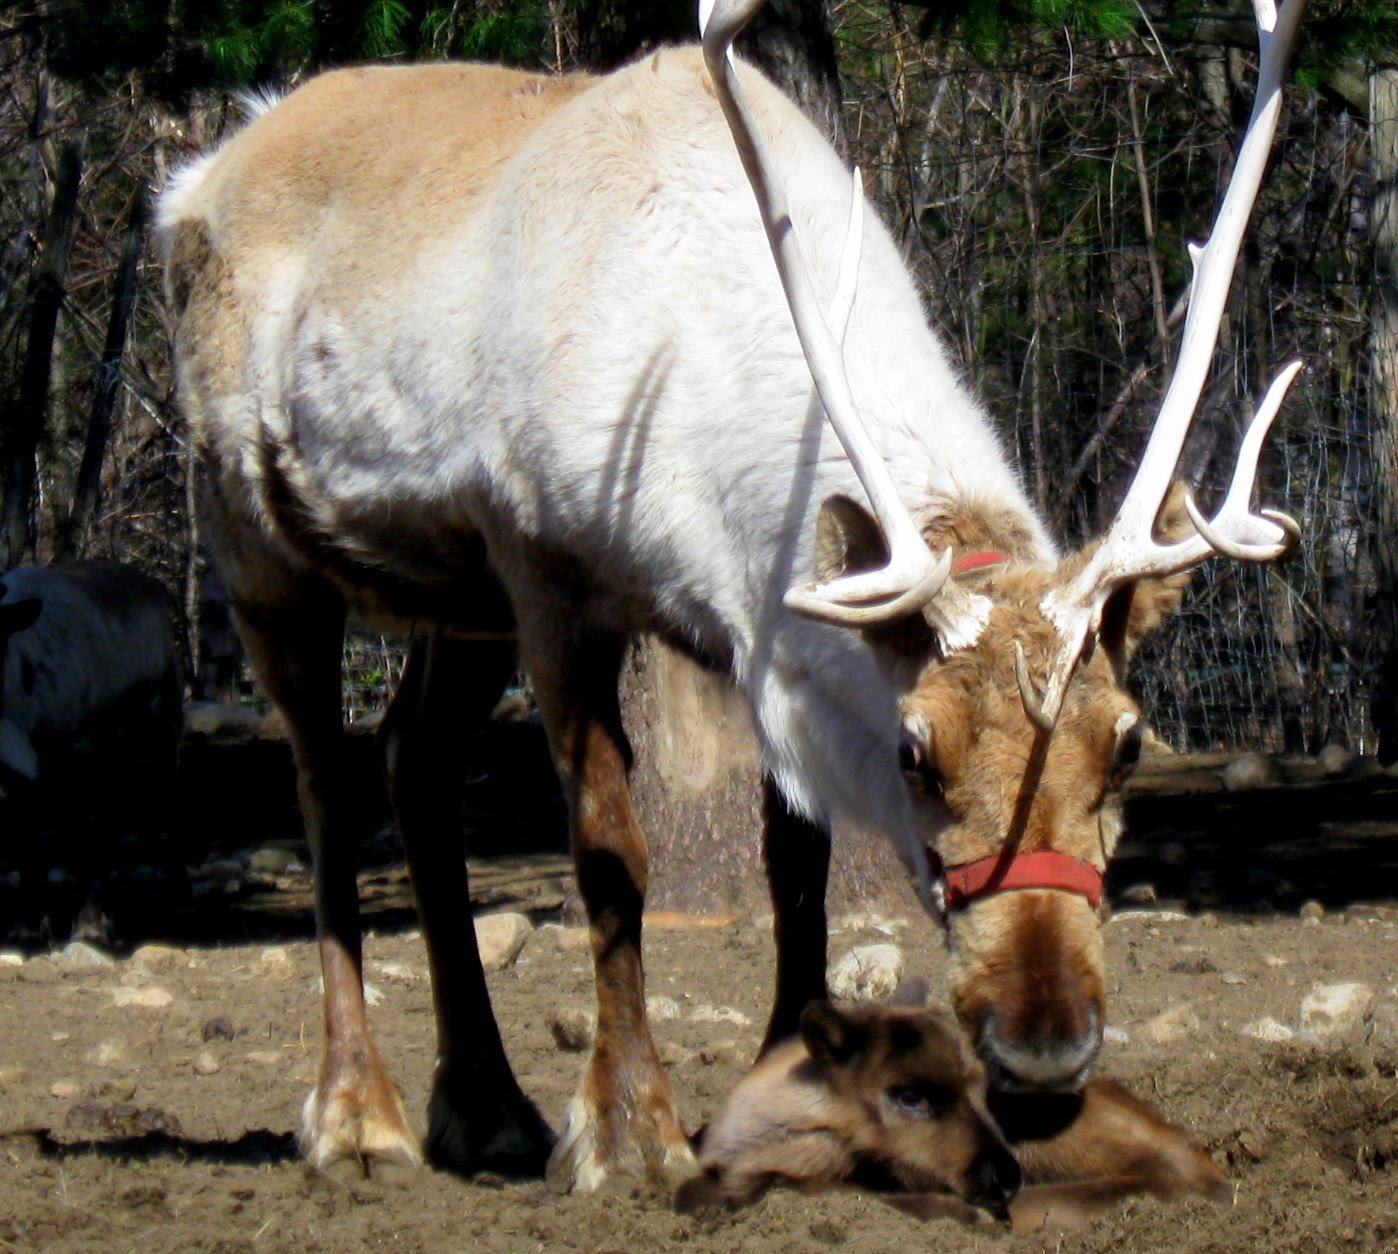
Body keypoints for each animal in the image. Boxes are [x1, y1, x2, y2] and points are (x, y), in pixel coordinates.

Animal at [156, 0, 1306, 1195]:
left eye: (1127, 741)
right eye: (916, 750)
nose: (1043, 1043)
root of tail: (200, 169)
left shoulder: (758, 634)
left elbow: (797, 862)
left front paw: (788, 1082)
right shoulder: (550, 574)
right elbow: (614, 852)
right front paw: (629, 1134)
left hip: (455, 599)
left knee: (411, 760)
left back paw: (485, 1111)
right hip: (252, 534)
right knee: (325, 786)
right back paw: (355, 1118)